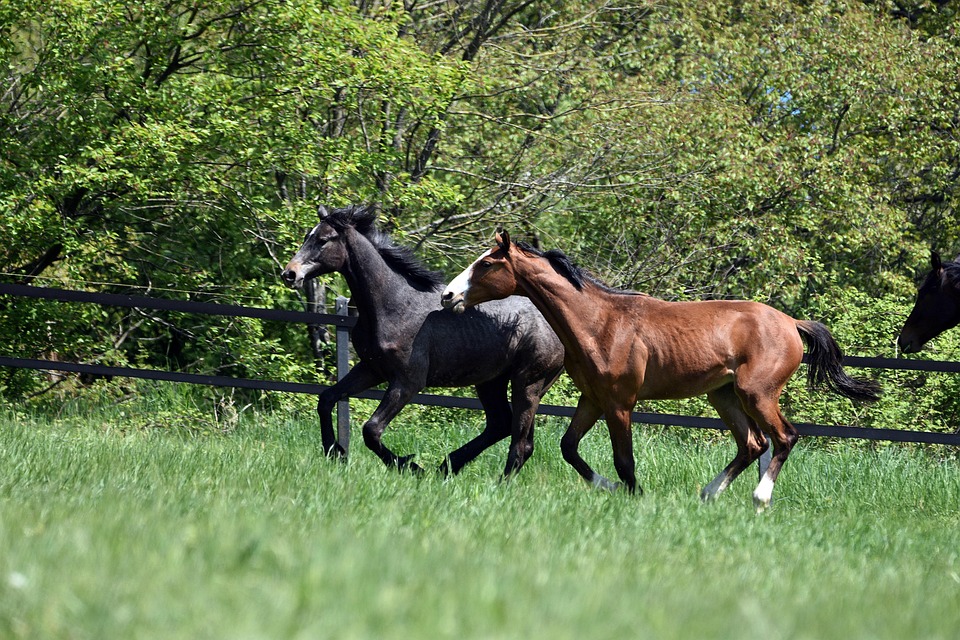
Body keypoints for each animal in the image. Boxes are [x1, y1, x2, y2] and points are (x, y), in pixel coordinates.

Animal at [281, 206, 564, 477]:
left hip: (528, 383)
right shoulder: (371, 369)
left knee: (520, 441)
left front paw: (410, 466)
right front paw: (335, 451)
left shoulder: (408, 382)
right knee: (500, 424)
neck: (393, 304)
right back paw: (446, 467)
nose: (289, 274)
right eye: (307, 236)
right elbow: (326, 399)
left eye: (323, 240)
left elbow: (371, 430)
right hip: (491, 381)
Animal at [441, 232, 881, 510]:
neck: (600, 322)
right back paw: (708, 495)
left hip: (757, 393)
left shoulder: (620, 403)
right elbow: (569, 447)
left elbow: (624, 460)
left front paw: (633, 495)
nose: (447, 296)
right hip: (723, 395)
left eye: (485, 264)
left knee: (784, 437)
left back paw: (760, 499)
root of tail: (792, 323)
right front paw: (607, 487)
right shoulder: (593, 399)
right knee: (752, 444)